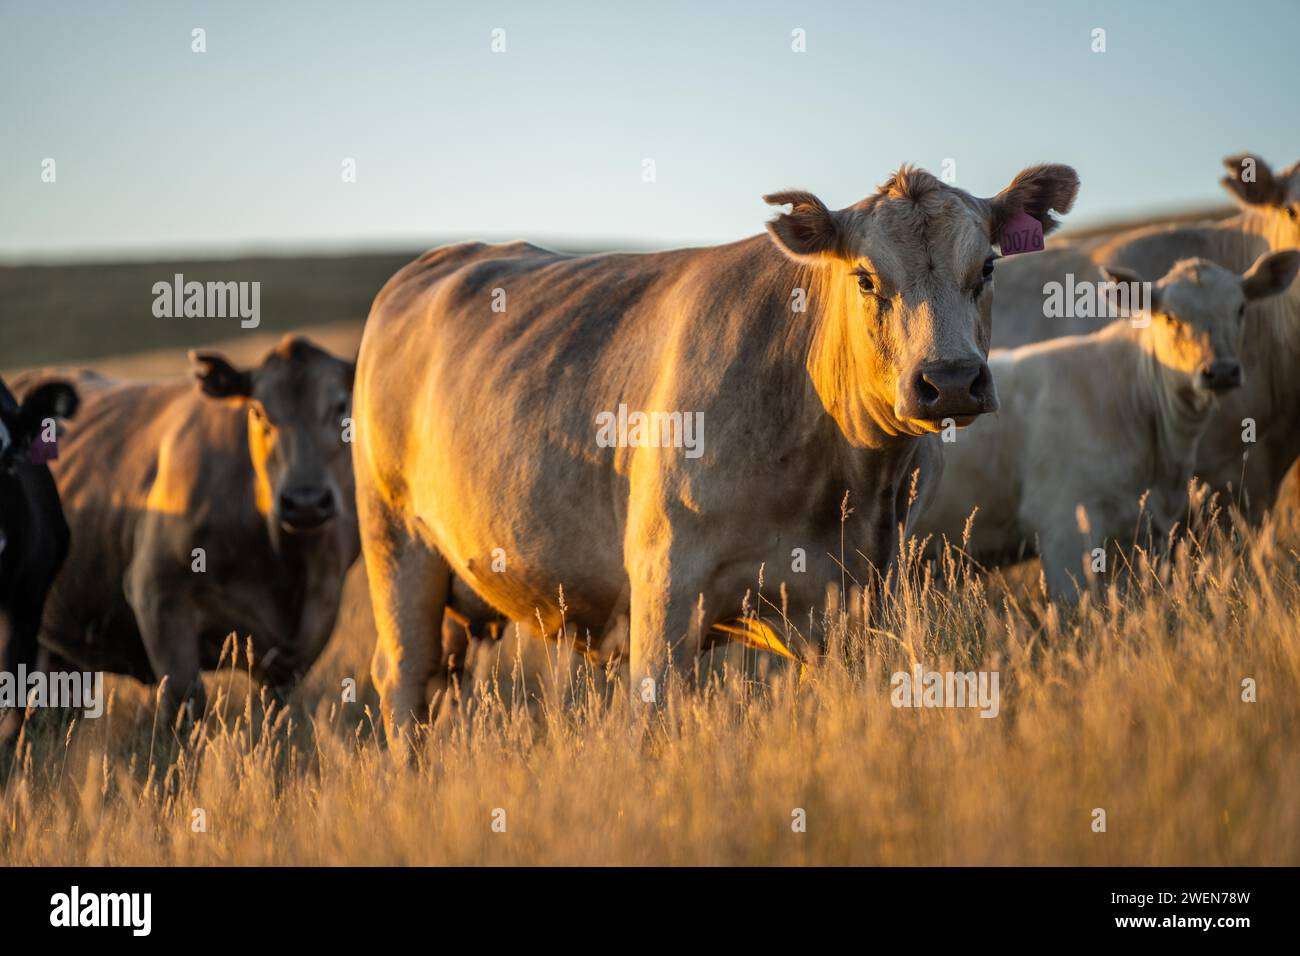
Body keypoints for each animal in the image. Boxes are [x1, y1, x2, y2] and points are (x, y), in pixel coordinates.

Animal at [14, 335, 359, 729]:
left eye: (341, 406)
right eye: (258, 412)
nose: (304, 501)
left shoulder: (313, 623)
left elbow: (273, 713)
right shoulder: (157, 594)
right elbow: (185, 701)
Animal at [351, 163, 1080, 743]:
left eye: (986, 267)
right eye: (867, 279)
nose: (951, 378)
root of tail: (433, 264)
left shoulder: (865, 591)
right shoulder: (663, 584)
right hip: (397, 543)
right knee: (403, 680)